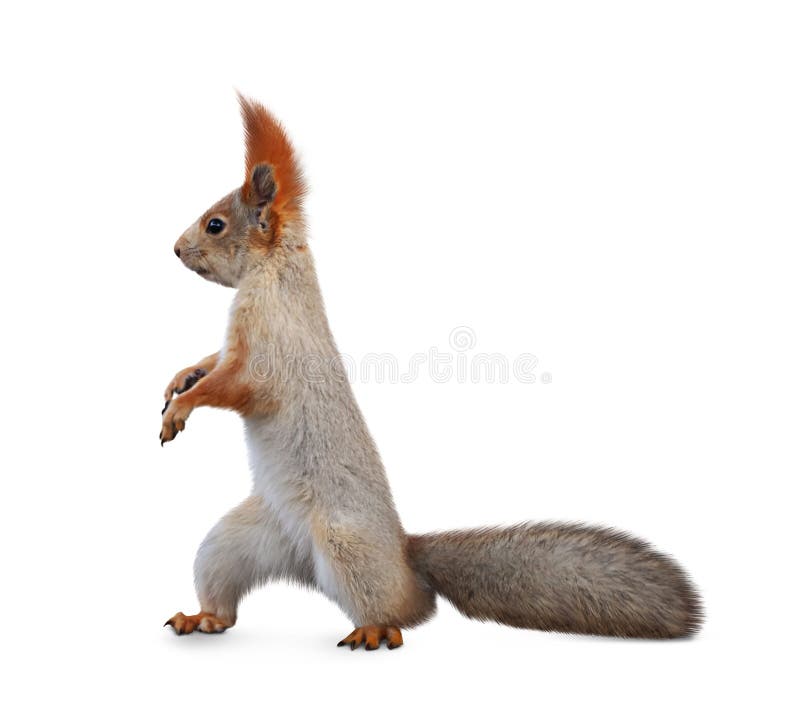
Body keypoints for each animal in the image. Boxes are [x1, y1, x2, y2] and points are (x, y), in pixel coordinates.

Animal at [161, 94, 702, 649]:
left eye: (215, 225)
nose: (176, 249)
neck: (274, 271)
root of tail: (404, 554)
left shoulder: (268, 350)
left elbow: (236, 384)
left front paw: (182, 406)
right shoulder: (237, 345)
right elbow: (213, 362)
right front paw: (182, 377)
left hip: (344, 545)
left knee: (408, 610)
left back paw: (375, 631)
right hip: (238, 541)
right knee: (225, 586)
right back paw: (202, 617)